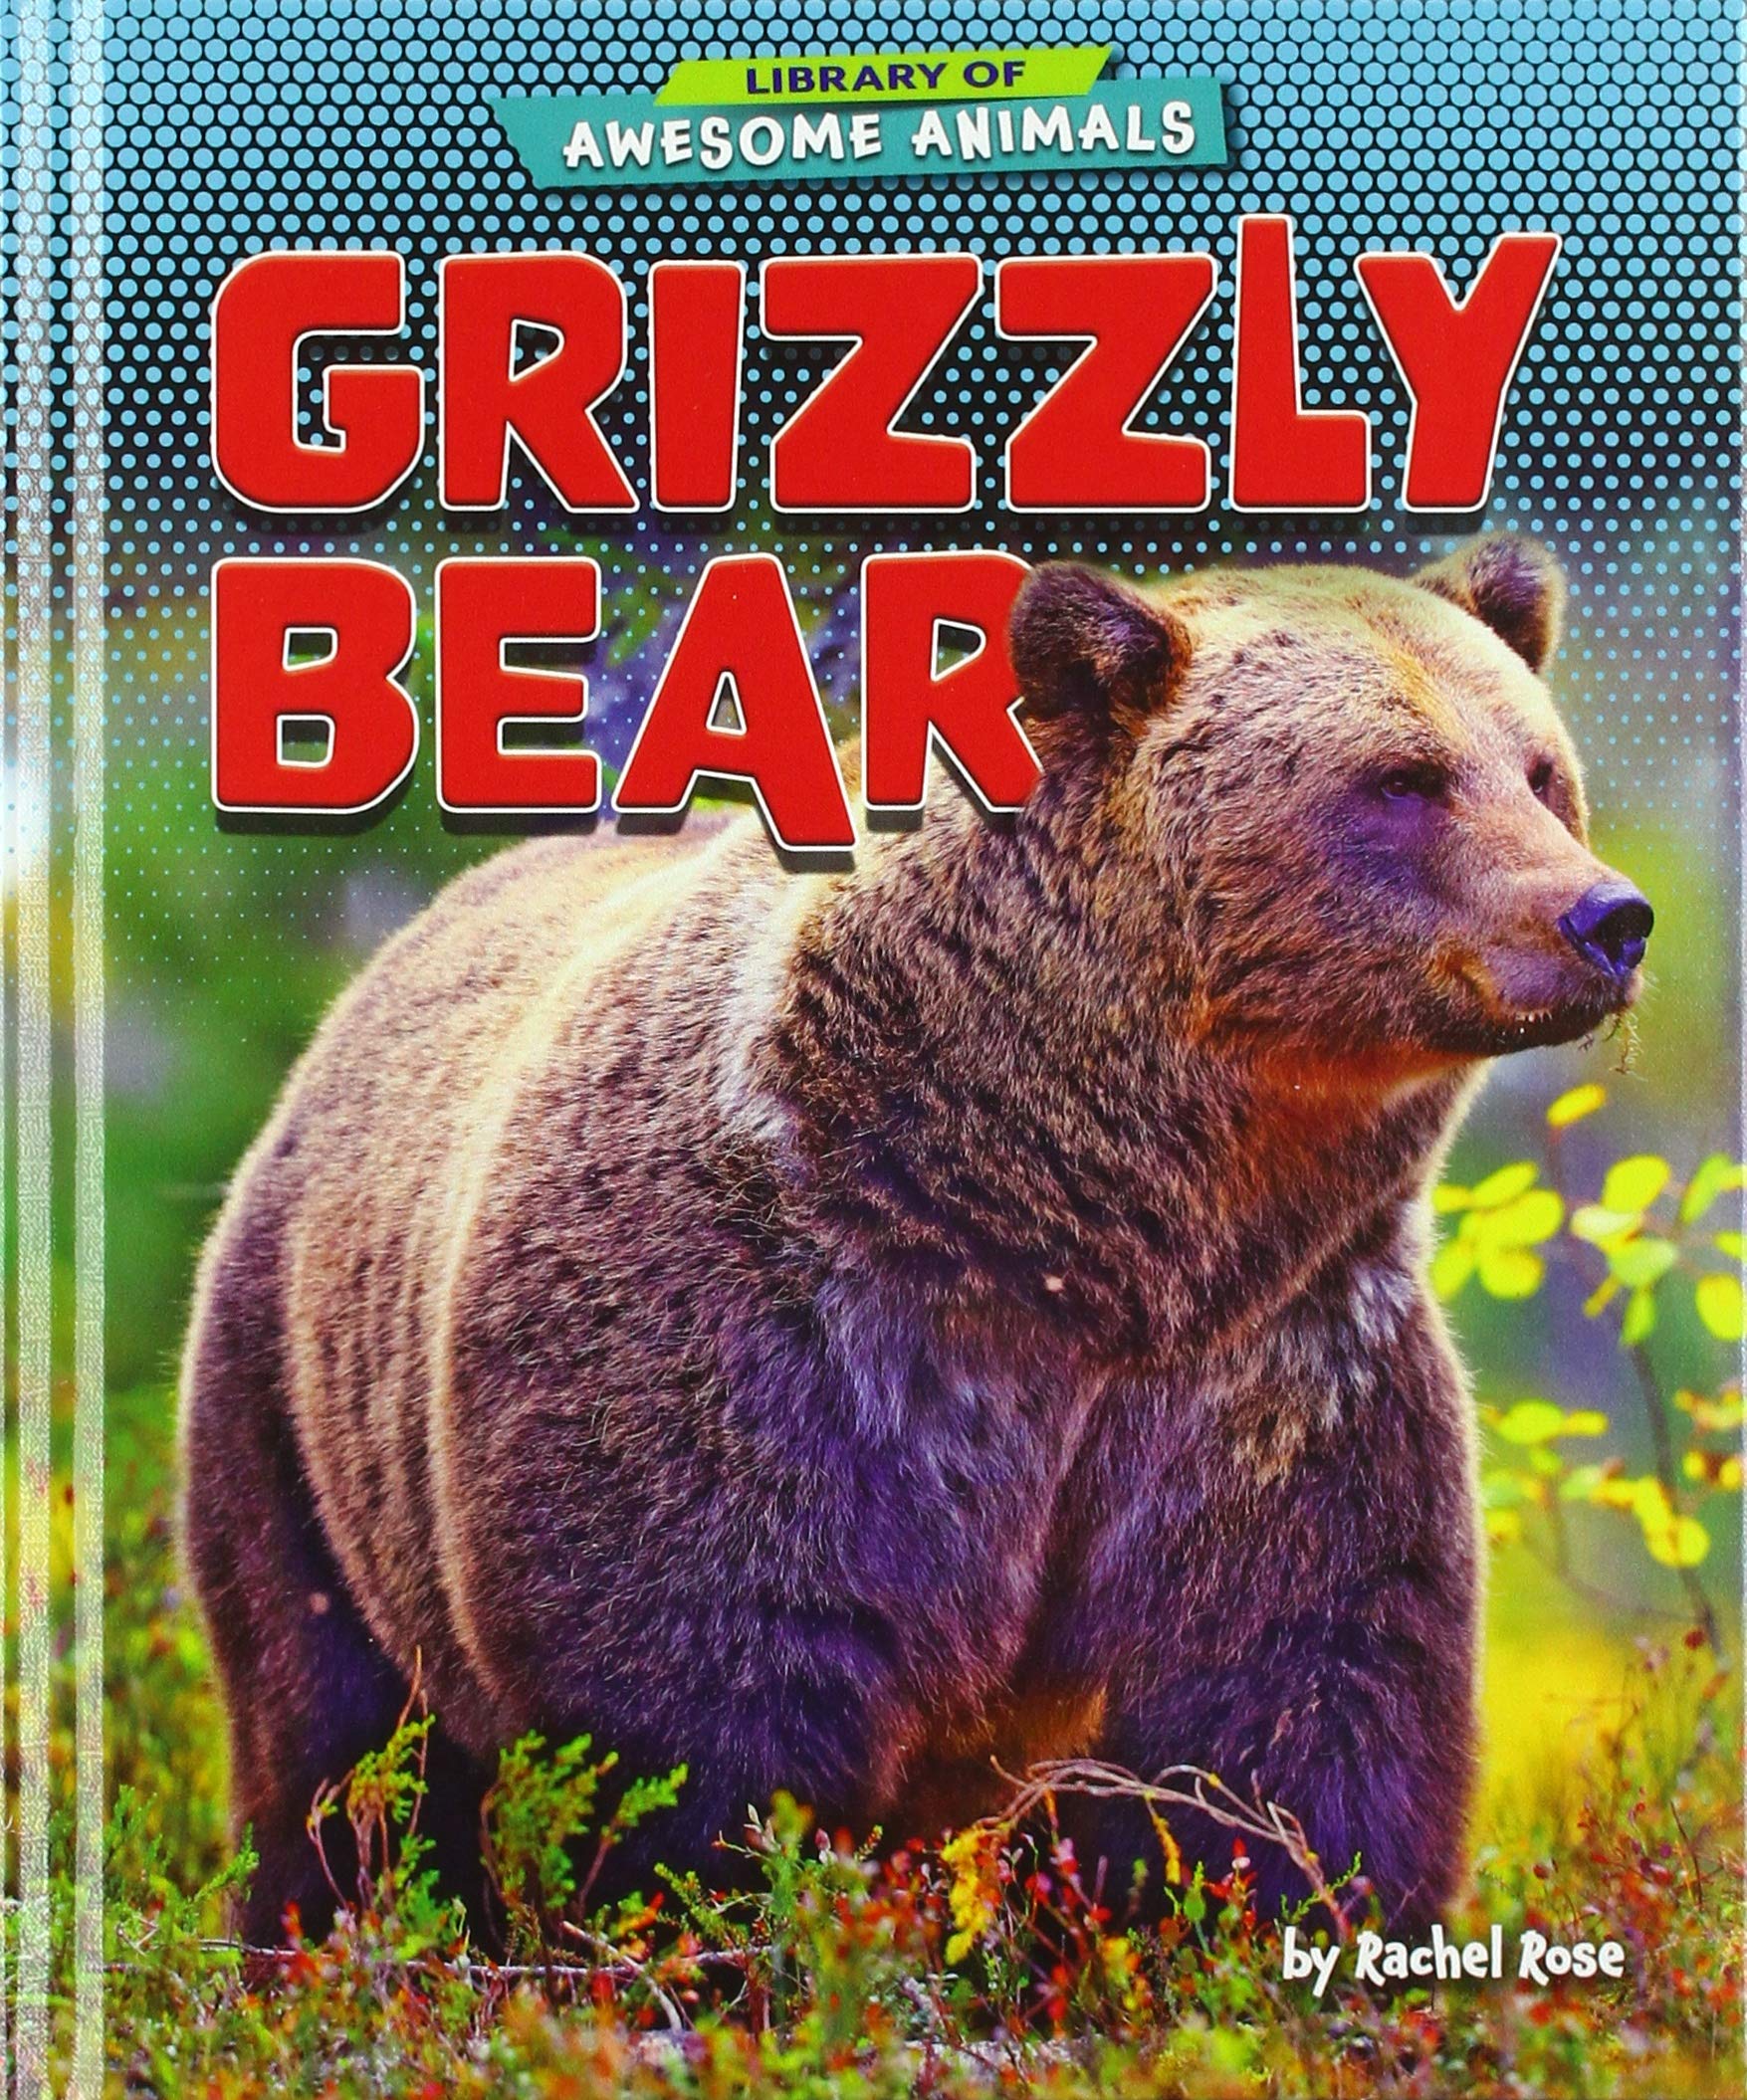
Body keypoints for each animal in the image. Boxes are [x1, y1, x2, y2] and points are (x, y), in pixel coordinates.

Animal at [180, 535, 1652, 1949]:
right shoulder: (787, 1340)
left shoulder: (1275, 1367)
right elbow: (702, 1710)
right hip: (293, 1411)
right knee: (334, 1737)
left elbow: (1295, 1706)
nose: (1606, 916)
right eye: (1400, 779)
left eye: (1538, 768)